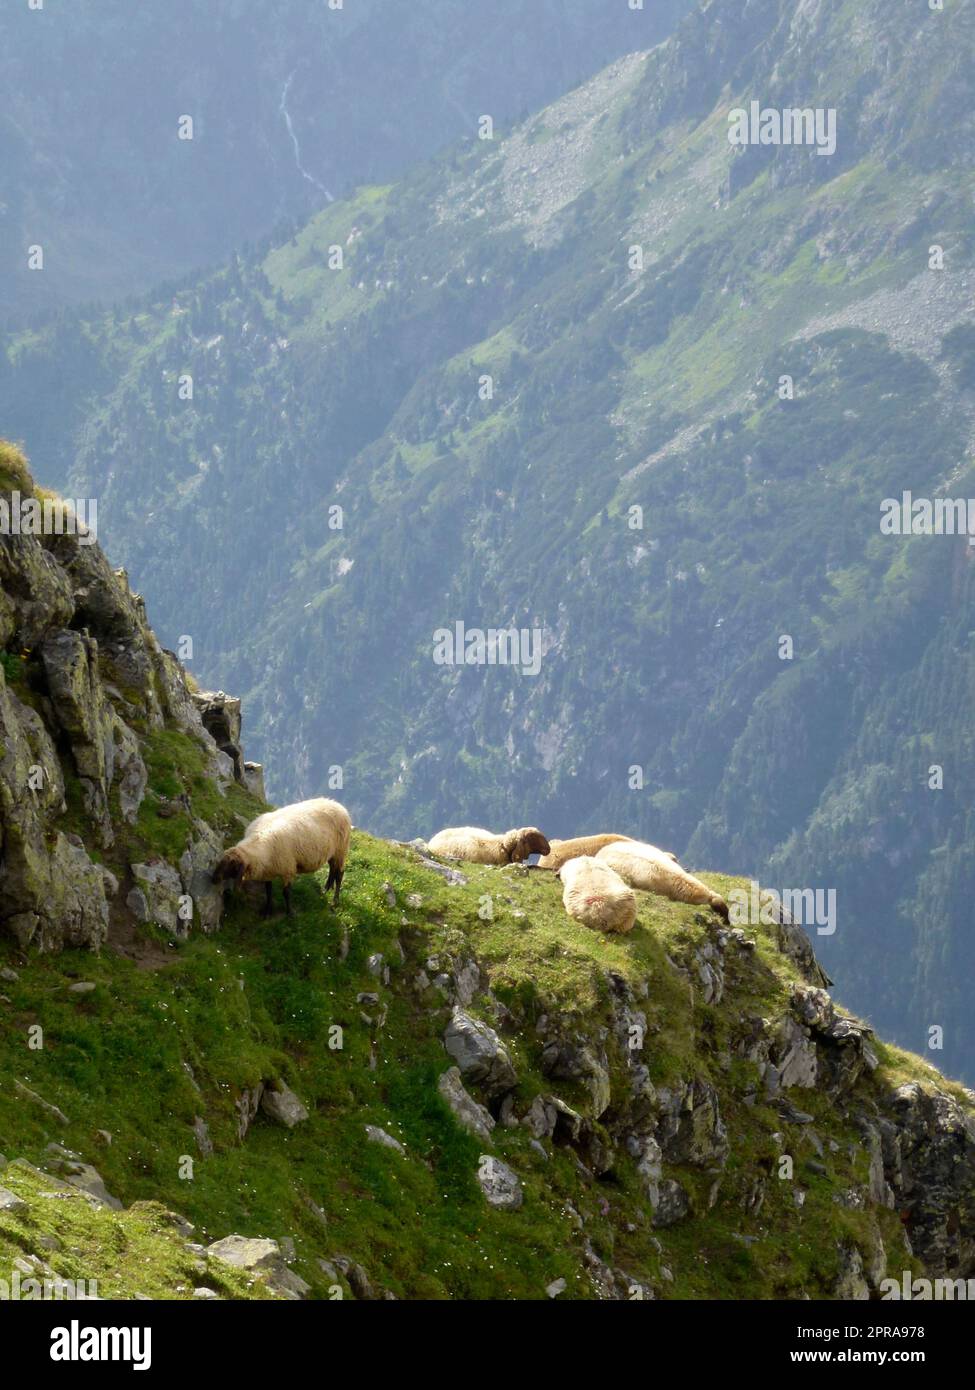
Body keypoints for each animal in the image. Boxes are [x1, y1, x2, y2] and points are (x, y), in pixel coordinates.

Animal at [212, 797, 352, 916]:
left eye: (232, 866)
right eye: (220, 862)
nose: (214, 878)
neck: (259, 843)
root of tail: (337, 805)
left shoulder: (288, 869)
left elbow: (286, 893)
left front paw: (290, 913)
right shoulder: (267, 871)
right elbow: (268, 890)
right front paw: (267, 910)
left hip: (341, 848)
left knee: (340, 873)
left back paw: (335, 900)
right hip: (332, 851)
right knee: (332, 869)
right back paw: (326, 888)